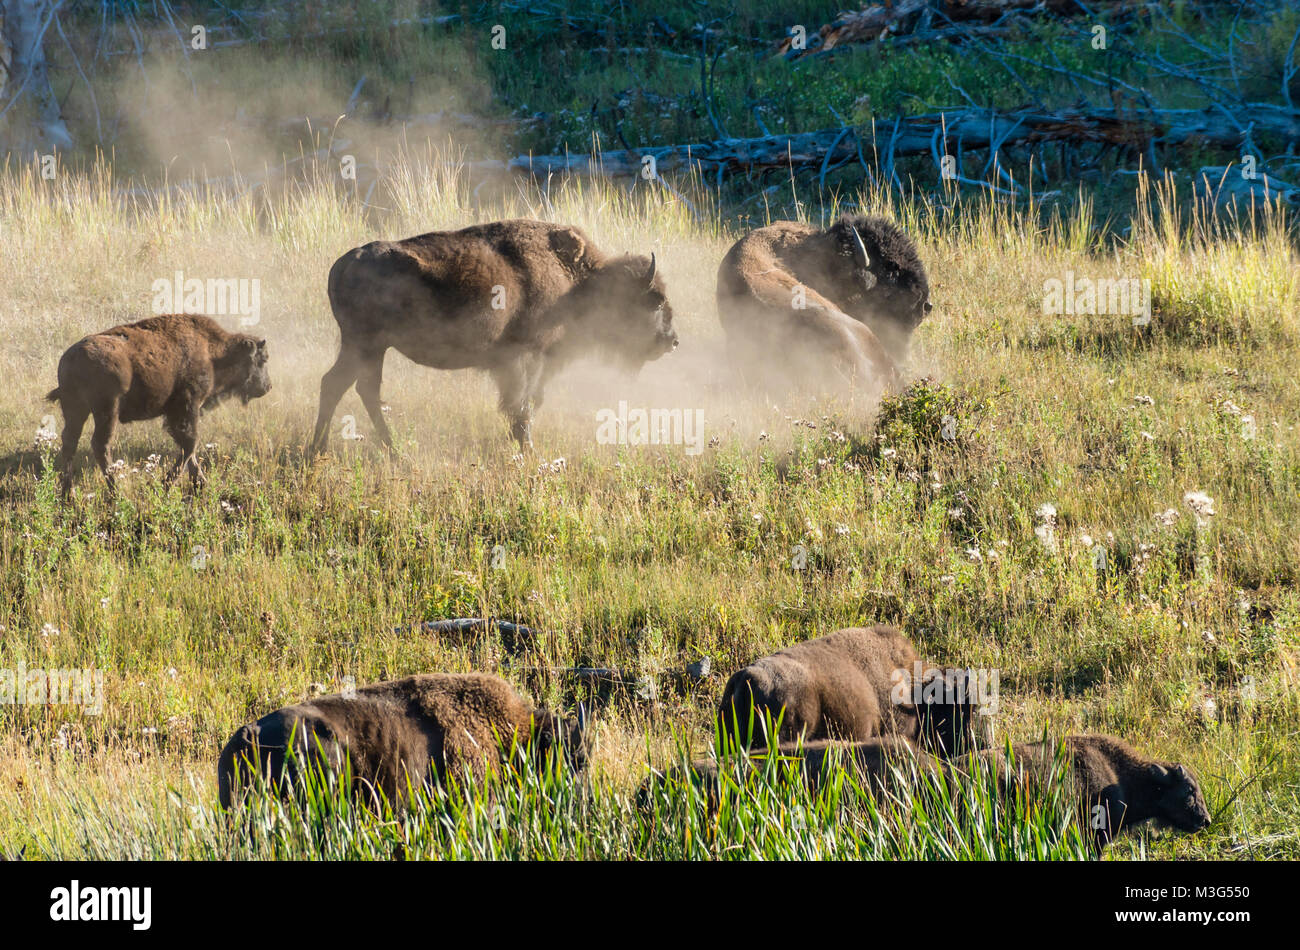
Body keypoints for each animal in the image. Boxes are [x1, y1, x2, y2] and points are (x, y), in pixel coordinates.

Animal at [46, 314, 271, 496]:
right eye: (262, 360)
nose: (267, 386)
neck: (212, 353)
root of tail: (72, 358)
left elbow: (189, 448)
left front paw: (200, 483)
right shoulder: (188, 406)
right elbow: (190, 444)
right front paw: (166, 485)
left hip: (76, 410)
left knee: (70, 442)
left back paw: (68, 493)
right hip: (107, 410)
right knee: (101, 445)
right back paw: (116, 491)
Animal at [311, 219, 678, 452]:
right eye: (656, 301)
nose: (672, 340)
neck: (575, 282)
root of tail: (343, 263)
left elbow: (526, 404)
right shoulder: (525, 358)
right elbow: (523, 405)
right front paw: (528, 450)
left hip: (372, 348)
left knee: (355, 387)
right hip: (364, 344)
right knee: (342, 385)